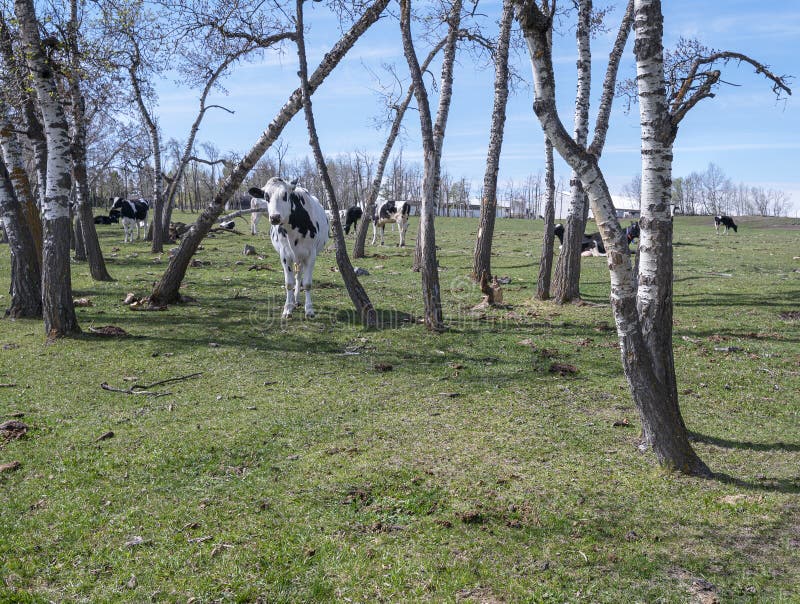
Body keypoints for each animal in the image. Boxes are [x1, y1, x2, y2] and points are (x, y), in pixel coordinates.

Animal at [248, 177, 329, 319]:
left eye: (285, 195)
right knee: (296, 277)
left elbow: (307, 284)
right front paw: (287, 308)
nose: (275, 217)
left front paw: (309, 310)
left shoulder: (310, 255)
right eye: (266, 196)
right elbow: (288, 283)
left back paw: (297, 299)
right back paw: (293, 301)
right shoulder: (285, 256)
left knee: (299, 276)